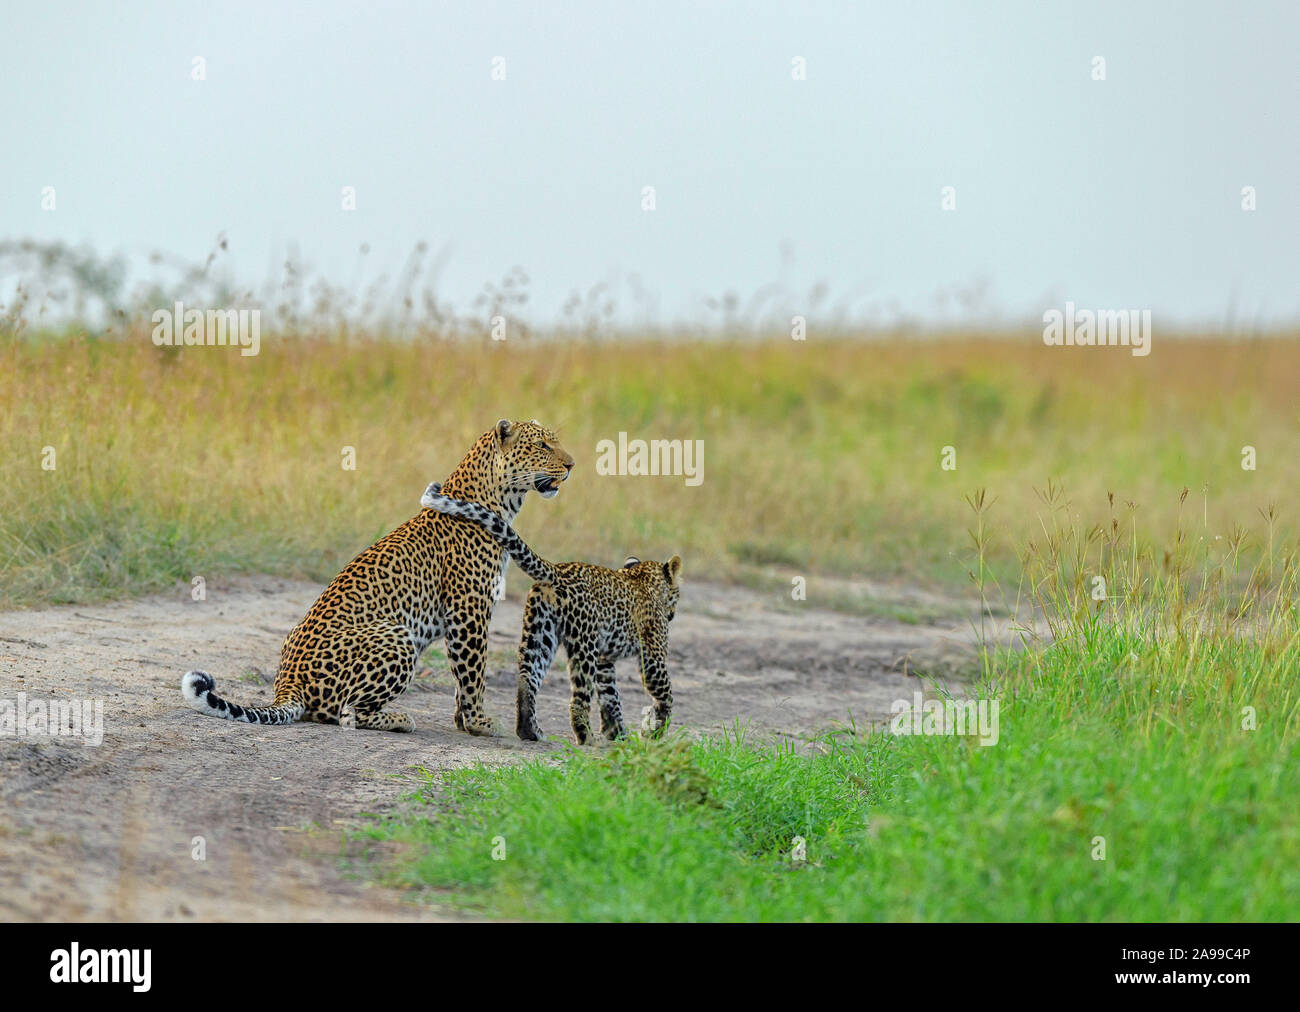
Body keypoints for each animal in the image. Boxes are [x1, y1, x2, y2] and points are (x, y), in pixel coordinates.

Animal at [180, 419, 574, 735]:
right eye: (543, 445)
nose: (572, 465)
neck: (499, 501)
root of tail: (287, 682)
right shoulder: (469, 608)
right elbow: (473, 671)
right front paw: (480, 723)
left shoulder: (462, 615)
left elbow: (461, 674)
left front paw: (464, 721)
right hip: (397, 635)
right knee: (346, 712)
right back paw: (400, 719)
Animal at [419, 482, 679, 744]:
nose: (672, 614)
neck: (644, 577)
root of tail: (556, 571)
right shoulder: (652, 655)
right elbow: (665, 692)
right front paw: (655, 731)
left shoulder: (605, 661)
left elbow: (611, 697)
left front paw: (617, 734)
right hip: (583, 643)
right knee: (578, 697)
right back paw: (586, 737)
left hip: (540, 631)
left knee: (527, 677)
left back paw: (529, 729)